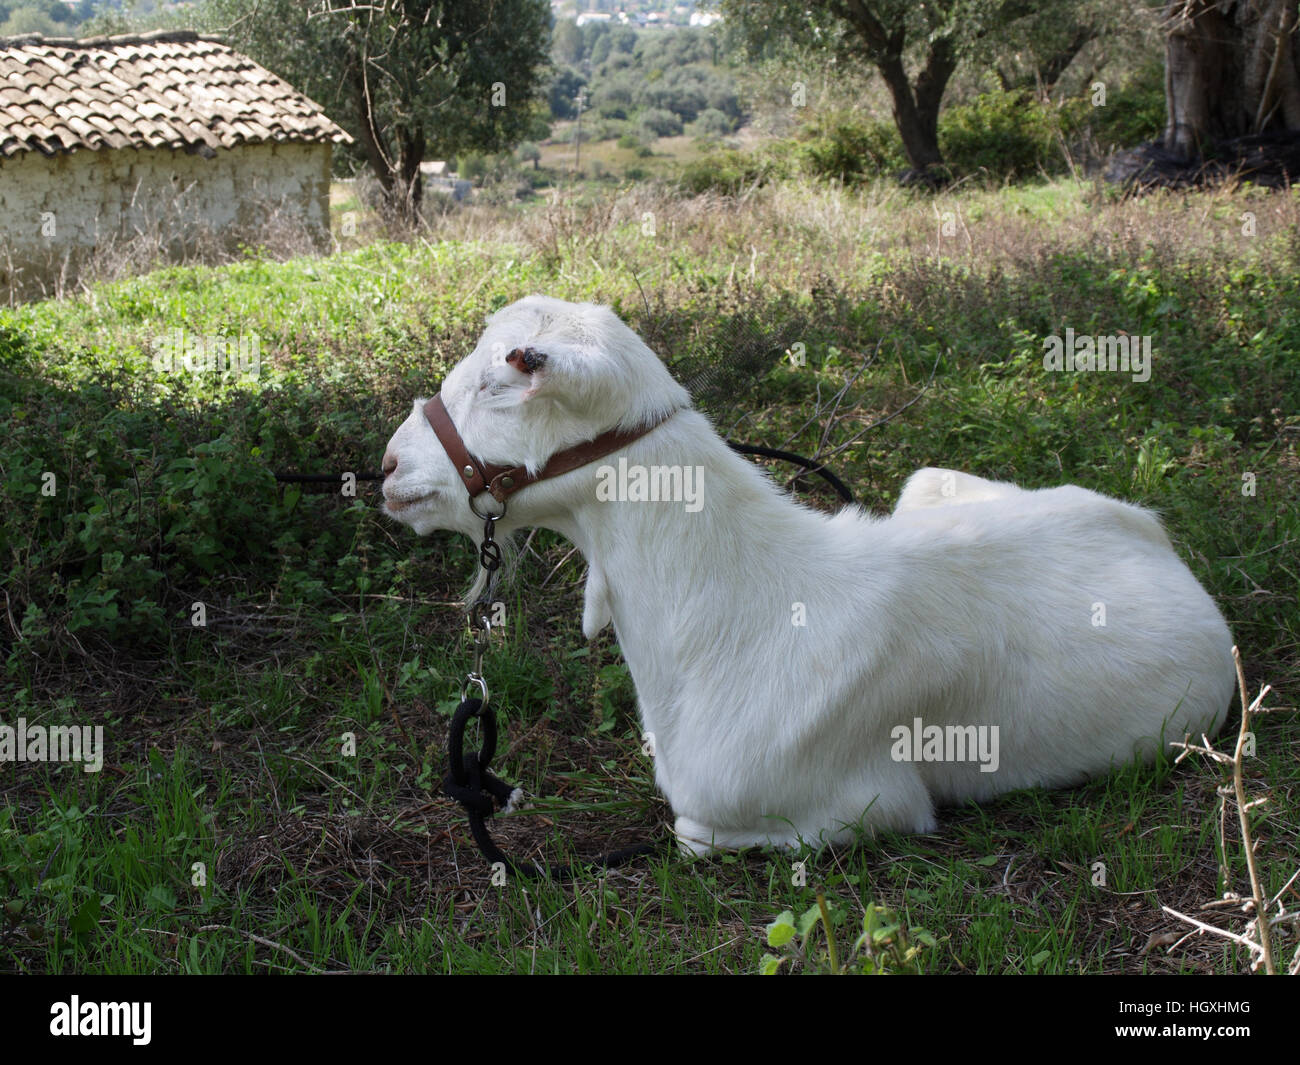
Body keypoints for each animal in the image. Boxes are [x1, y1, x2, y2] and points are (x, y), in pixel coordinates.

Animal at [381, 295, 1235, 855]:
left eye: (499, 380)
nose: (388, 466)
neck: (738, 606)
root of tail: (1151, 528)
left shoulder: (867, 805)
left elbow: (691, 834)